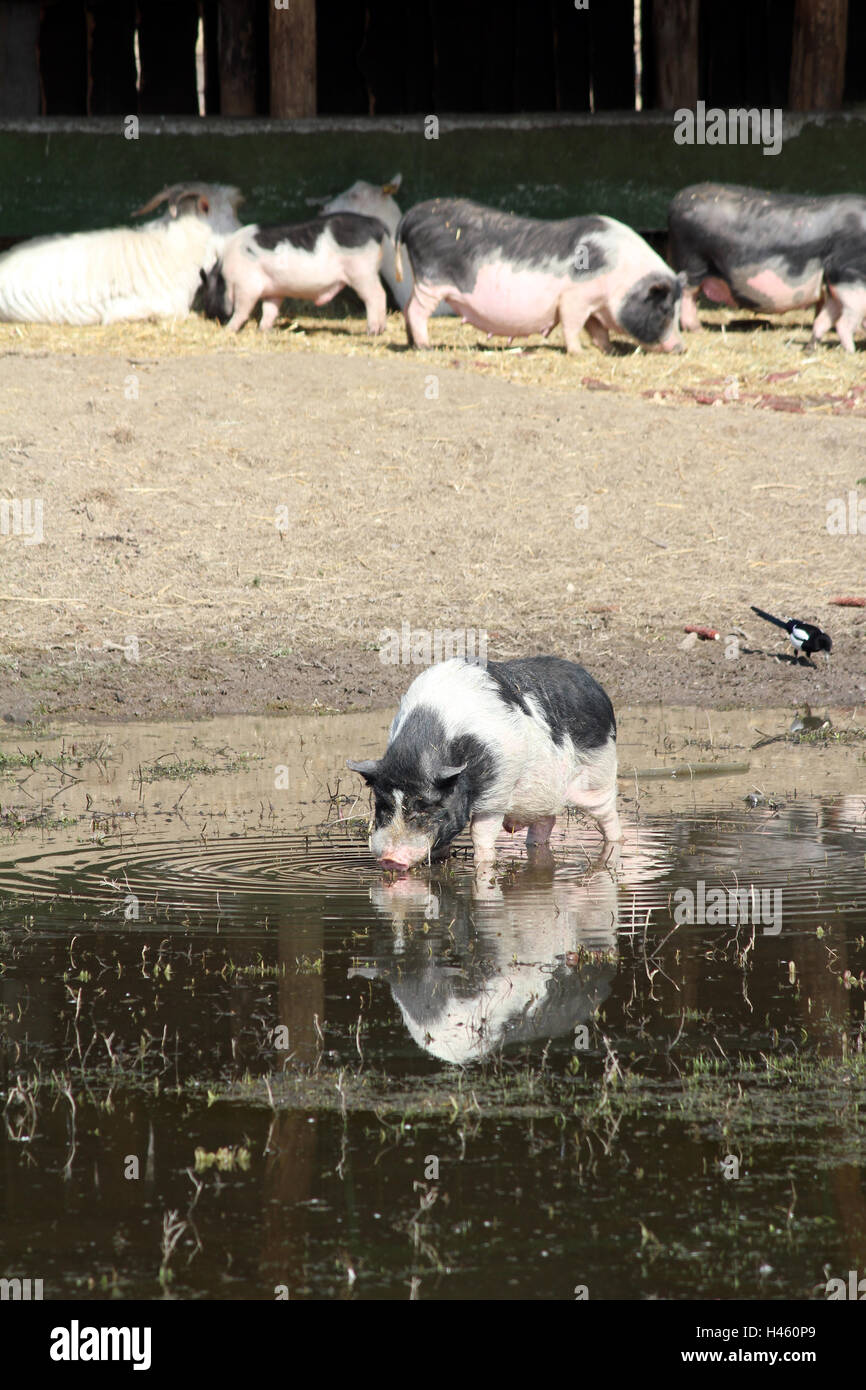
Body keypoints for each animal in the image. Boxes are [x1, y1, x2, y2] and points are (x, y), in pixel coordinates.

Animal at [199, 212, 388, 333]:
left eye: (207, 293)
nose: (207, 316)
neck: (224, 273)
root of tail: (376, 224)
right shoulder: (273, 291)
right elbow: (270, 310)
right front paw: (263, 330)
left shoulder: (247, 285)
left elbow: (242, 309)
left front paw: (228, 330)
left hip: (362, 273)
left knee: (377, 296)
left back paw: (373, 331)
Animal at [347, 655, 622, 871]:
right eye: (383, 806)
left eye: (424, 807)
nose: (390, 860)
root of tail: (595, 686)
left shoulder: (496, 793)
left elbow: (481, 834)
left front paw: (483, 866)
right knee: (545, 823)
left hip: (599, 771)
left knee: (608, 815)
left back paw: (615, 846)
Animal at [394, 198, 686, 353]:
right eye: (665, 310)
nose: (681, 347)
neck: (622, 276)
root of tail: (411, 215)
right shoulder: (575, 297)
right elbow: (573, 325)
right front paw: (578, 353)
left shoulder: (593, 304)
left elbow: (597, 329)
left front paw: (609, 350)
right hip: (432, 279)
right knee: (416, 310)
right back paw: (425, 346)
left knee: (407, 307)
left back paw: (412, 344)